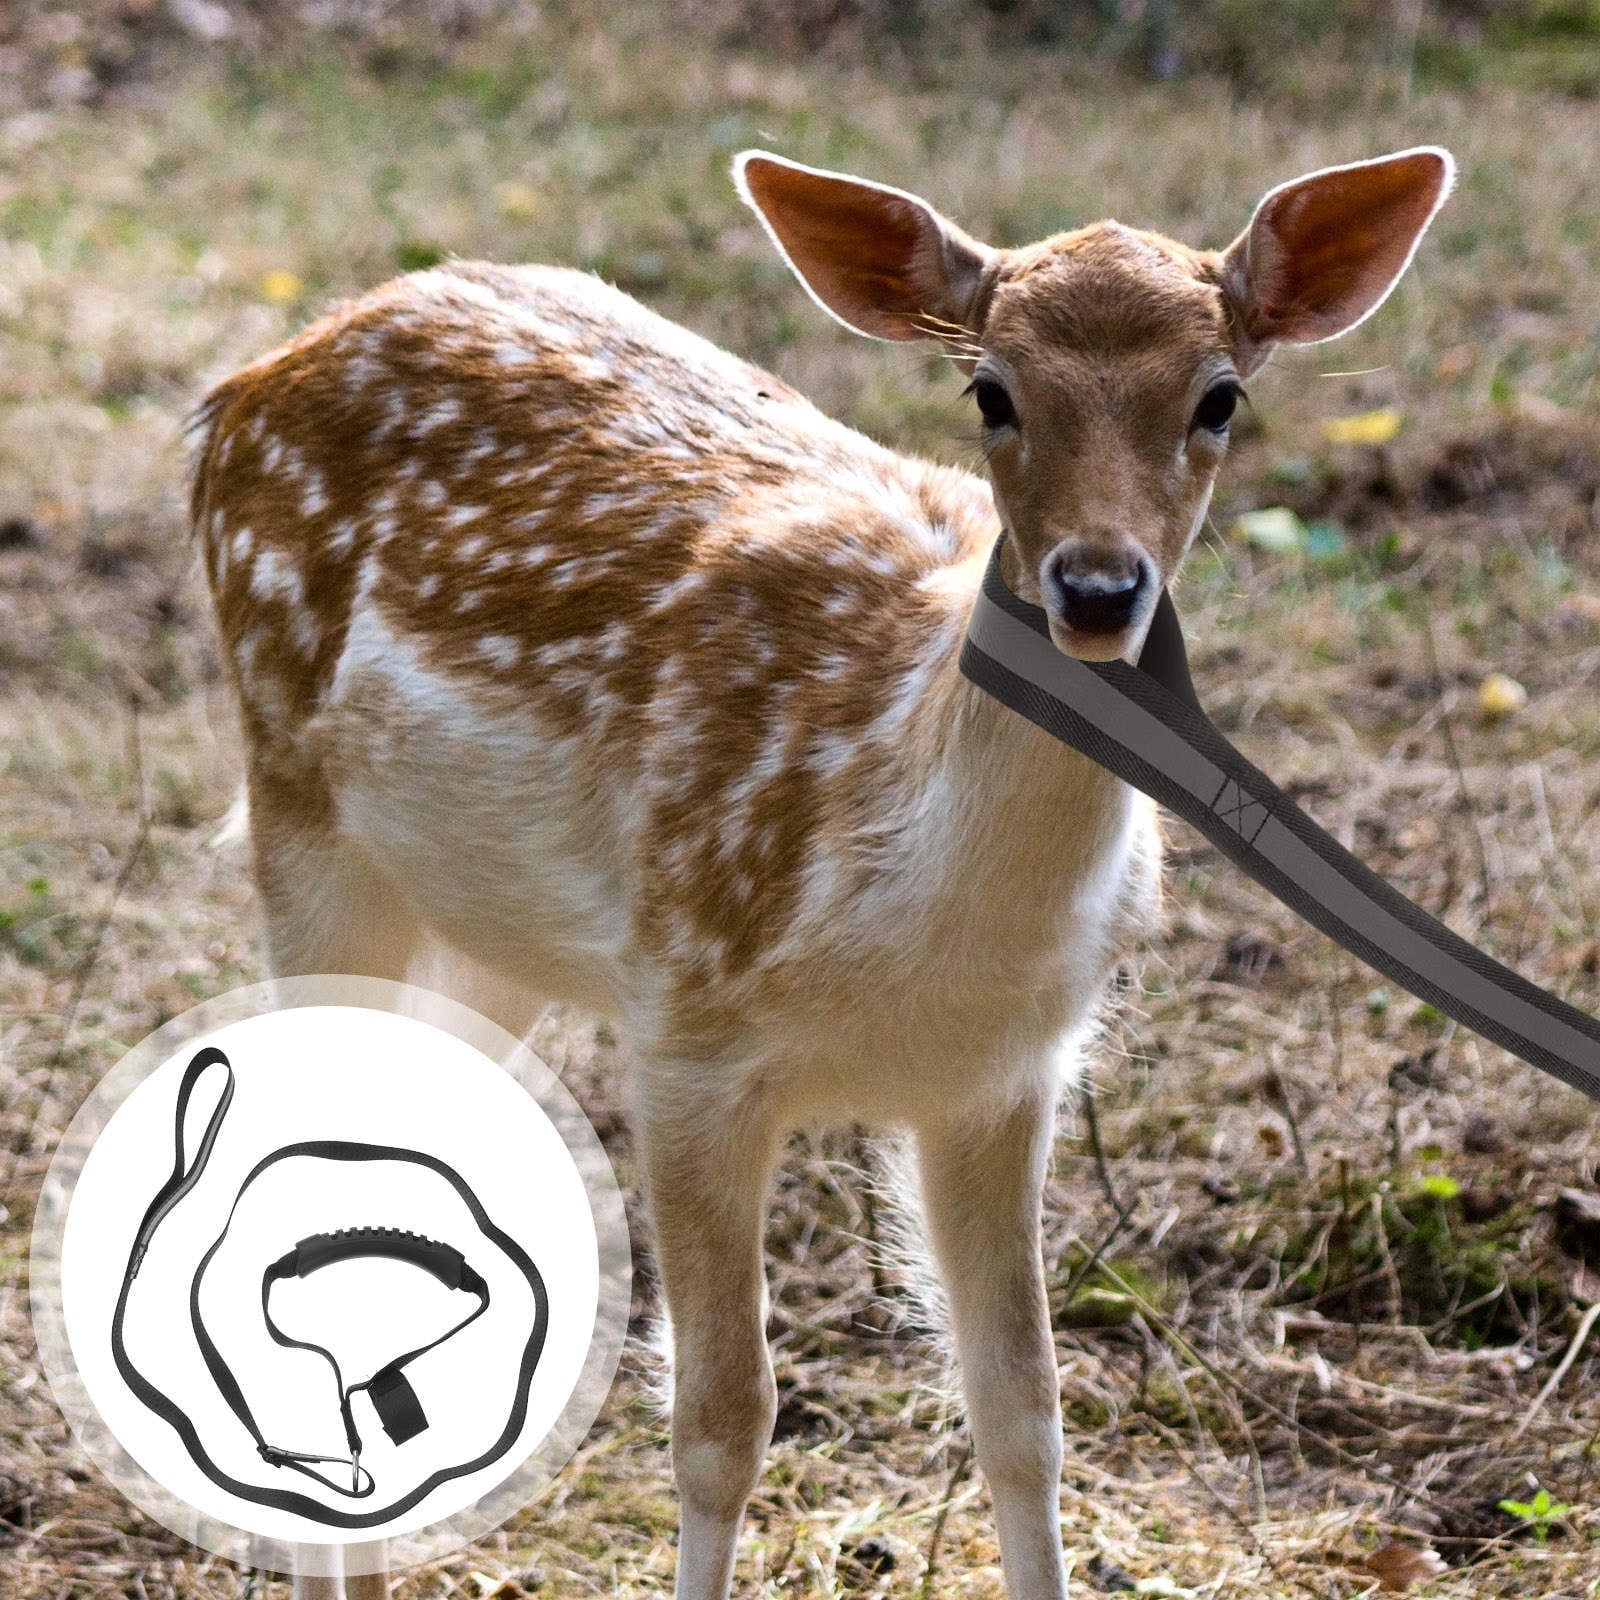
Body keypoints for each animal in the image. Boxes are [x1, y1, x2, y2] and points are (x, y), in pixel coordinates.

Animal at [189, 144, 1453, 1599]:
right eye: (990, 390)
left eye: (1220, 396)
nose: (1094, 588)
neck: (916, 916)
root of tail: (251, 379)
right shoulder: (685, 1027)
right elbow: (720, 1418)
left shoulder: (1004, 1073)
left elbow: (1024, 1407)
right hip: (295, 805)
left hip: (484, 924)